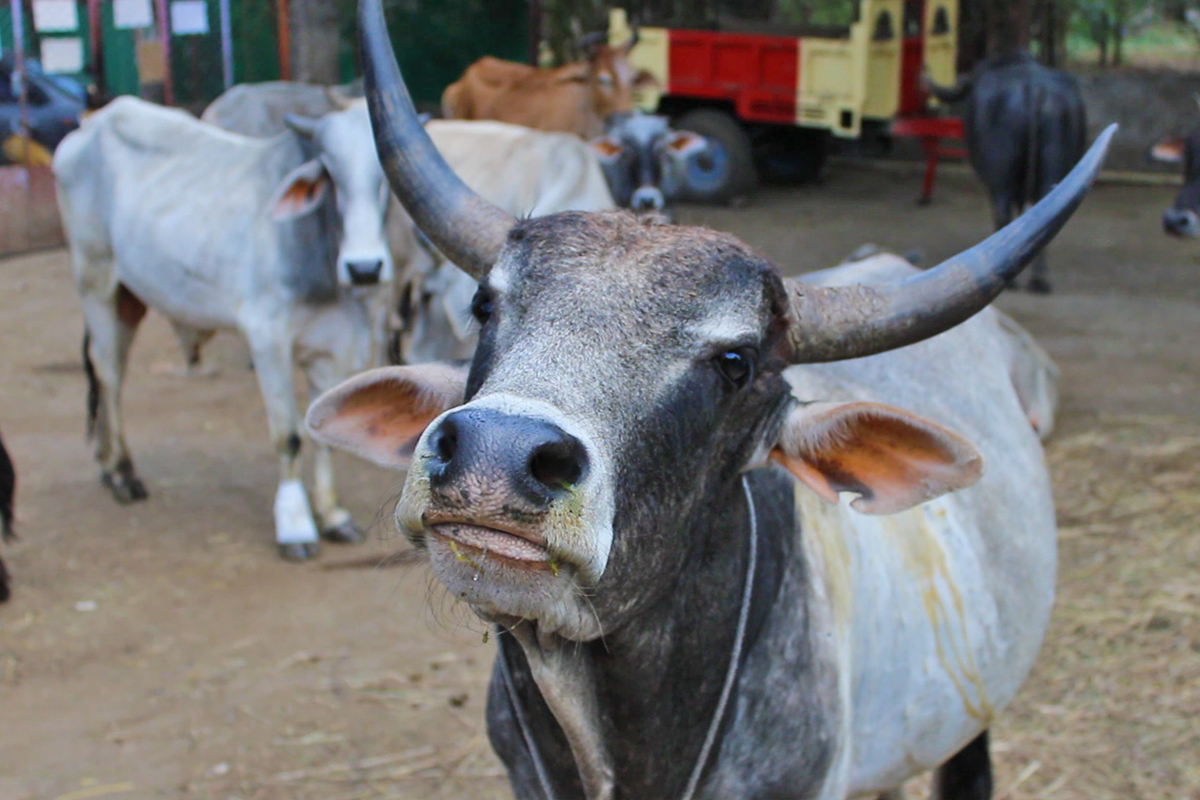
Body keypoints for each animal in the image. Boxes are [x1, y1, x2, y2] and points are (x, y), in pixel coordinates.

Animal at [54, 96, 393, 560]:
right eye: (330, 171)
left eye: (385, 178)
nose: (364, 268)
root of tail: (92, 122)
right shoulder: (267, 337)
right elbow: (289, 435)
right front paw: (295, 526)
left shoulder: (333, 346)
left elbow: (322, 431)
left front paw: (332, 516)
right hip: (95, 282)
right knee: (109, 376)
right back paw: (122, 473)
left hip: (128, 298)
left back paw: (108, 465)